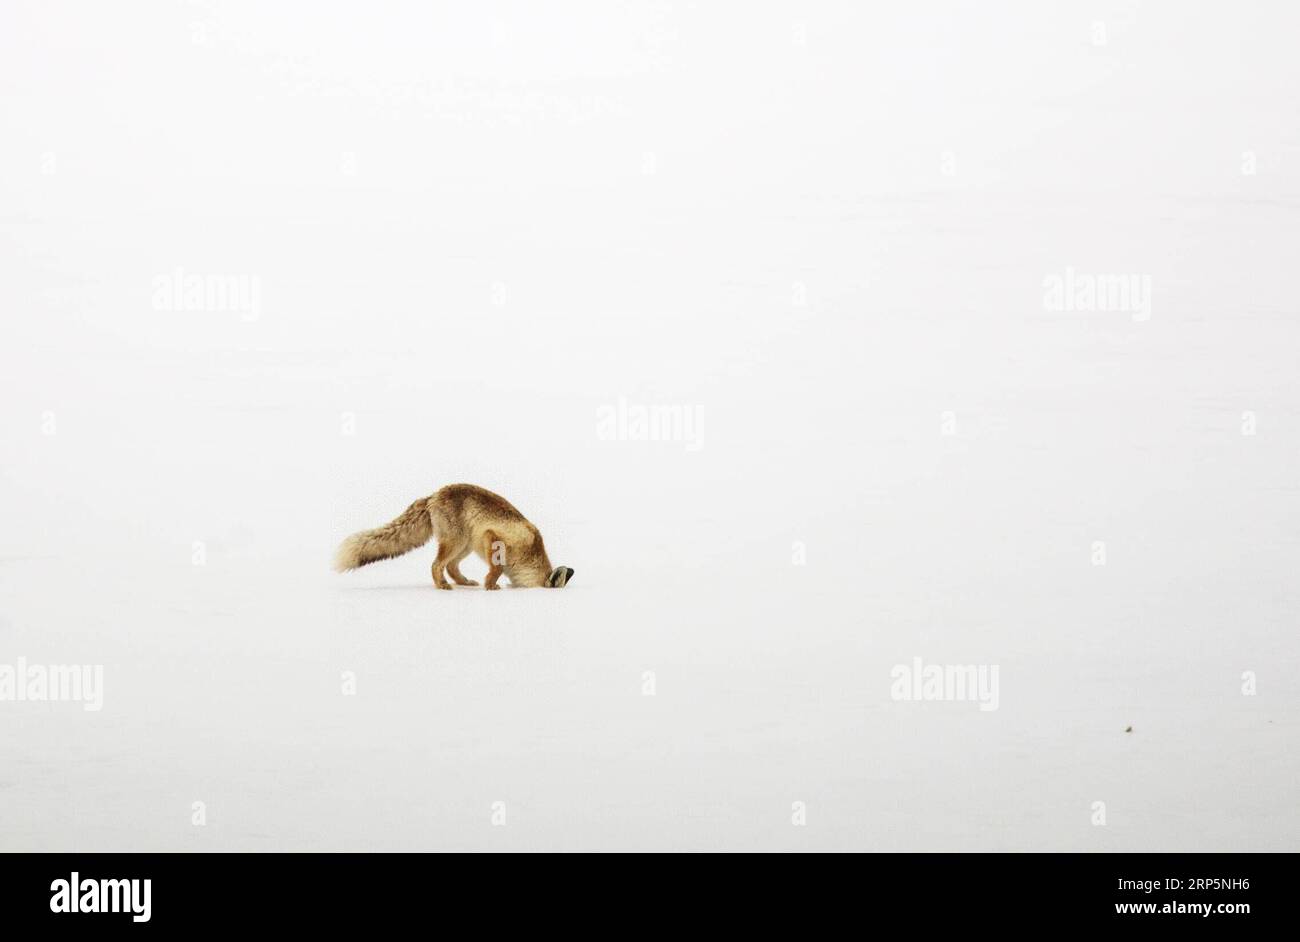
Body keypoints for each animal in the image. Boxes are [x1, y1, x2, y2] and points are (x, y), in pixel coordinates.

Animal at [333, 483, 574, 590]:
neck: (531, 551)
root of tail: (433, 495)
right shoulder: (493, 538)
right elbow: (496, 570)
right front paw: (491, 585)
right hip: (456, 542)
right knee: (436, 565)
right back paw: (442, 586)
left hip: (465, 546)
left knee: (450, 567)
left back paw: (463, 582)